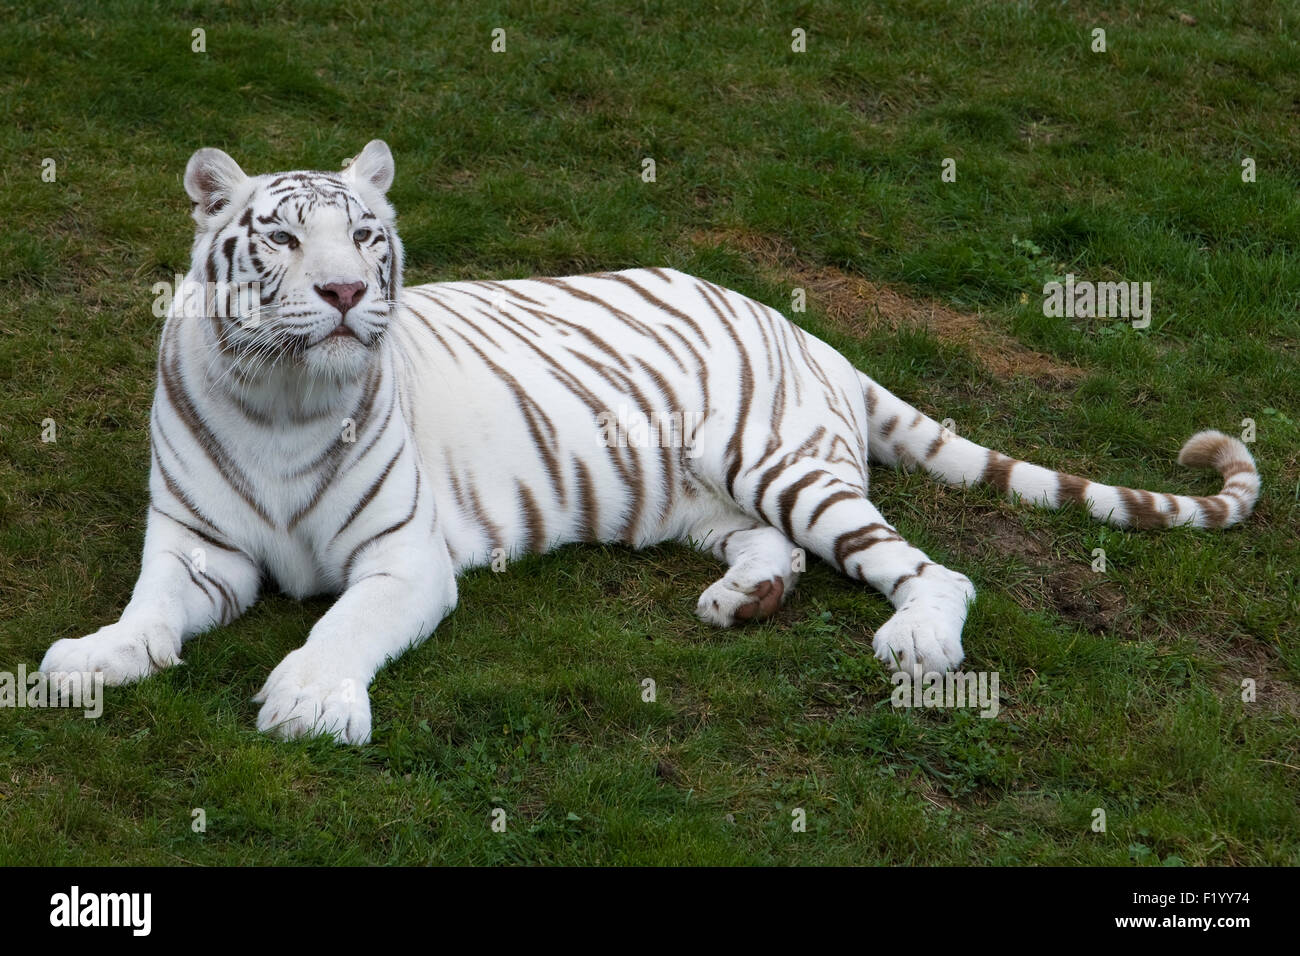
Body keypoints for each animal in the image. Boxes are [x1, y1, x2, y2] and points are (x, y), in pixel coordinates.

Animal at [39, 141, 1260, 744]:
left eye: (369, 236)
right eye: (285, 239)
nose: (343, 292)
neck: (288, 396)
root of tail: (799, 323)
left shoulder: (402, 559)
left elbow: (342, 624)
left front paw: (309, 702)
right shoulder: (196, 547)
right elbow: (149, 610)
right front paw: (91, 659)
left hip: (771, 459)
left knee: (928, 569)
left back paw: (916, 639)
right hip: (700, 497)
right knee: (776, 551)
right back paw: (744, 601)